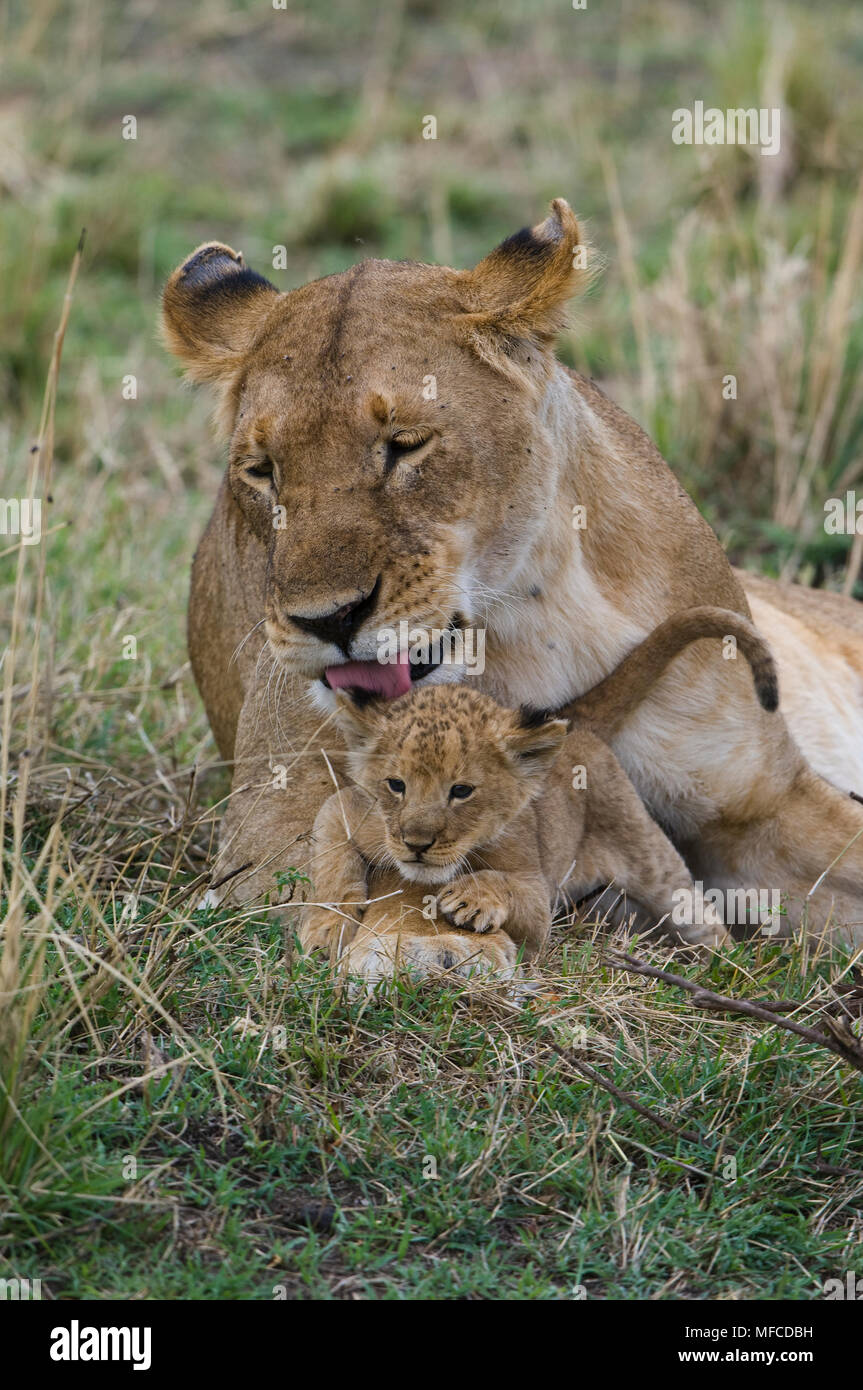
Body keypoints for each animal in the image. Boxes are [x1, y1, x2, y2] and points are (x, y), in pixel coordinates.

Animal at [302, 606, 780, 984]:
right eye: (396, 785)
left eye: (461, 791)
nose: (416, 844)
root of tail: (574, 723)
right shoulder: (353, 812)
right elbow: (333, 859)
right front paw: (324, 930)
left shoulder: (536, 903)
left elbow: (512, 889)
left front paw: (472, 898)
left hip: (646, 853)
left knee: (697, 915)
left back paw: (736, 971)